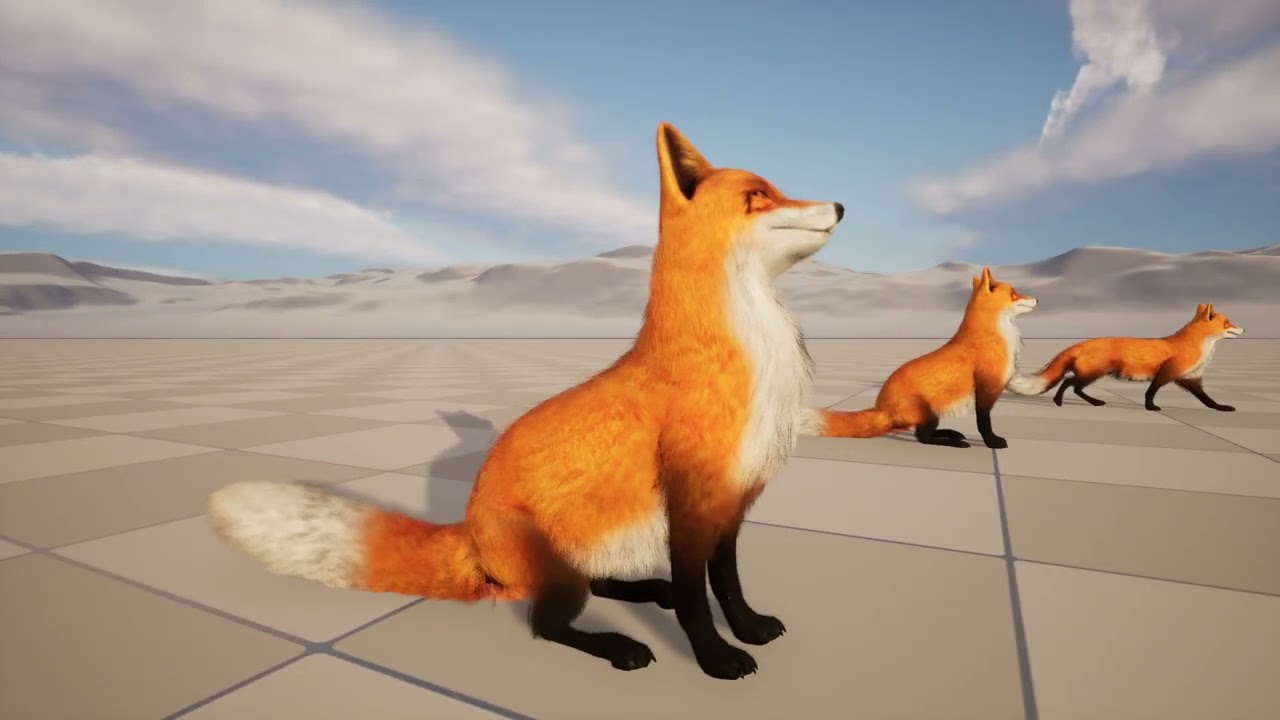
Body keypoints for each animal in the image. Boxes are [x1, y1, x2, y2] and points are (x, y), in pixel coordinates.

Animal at [206, 123, 844, 680]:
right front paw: (715, 659)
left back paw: (645, 591)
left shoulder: (730, 502)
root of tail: (469, 535)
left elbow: (728, 582)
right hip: (557, 567)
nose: (840, 205)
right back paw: (620, 646)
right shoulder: (691, 502)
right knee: (546, 623)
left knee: (599, 586)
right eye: (758, 197)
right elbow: (694, 596)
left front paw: (749, 629)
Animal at [798, 267, 1037, 449]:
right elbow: (983, 422)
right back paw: (954, 441)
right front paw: (993, 442)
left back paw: (952, 434)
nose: (1036, 298)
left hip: (931, 415)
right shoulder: (985, 387)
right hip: (929, 413)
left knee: (921, 433)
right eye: (1014, 293)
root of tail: (882, 408)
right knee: (922, 437)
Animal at [1005, 302, 1245, 412]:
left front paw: (1221, 408)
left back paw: (1080, 401)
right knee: (1069, 383)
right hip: (1093, 373)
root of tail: (1079, 344)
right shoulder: (1166, 373)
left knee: (1073, 386)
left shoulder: (1188, 378)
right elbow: (1151, 391)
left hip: (1092, 374)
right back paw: (1063, 401)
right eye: (1227, 323)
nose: (1243, 329)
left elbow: (1207, 399)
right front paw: (1151, 407)